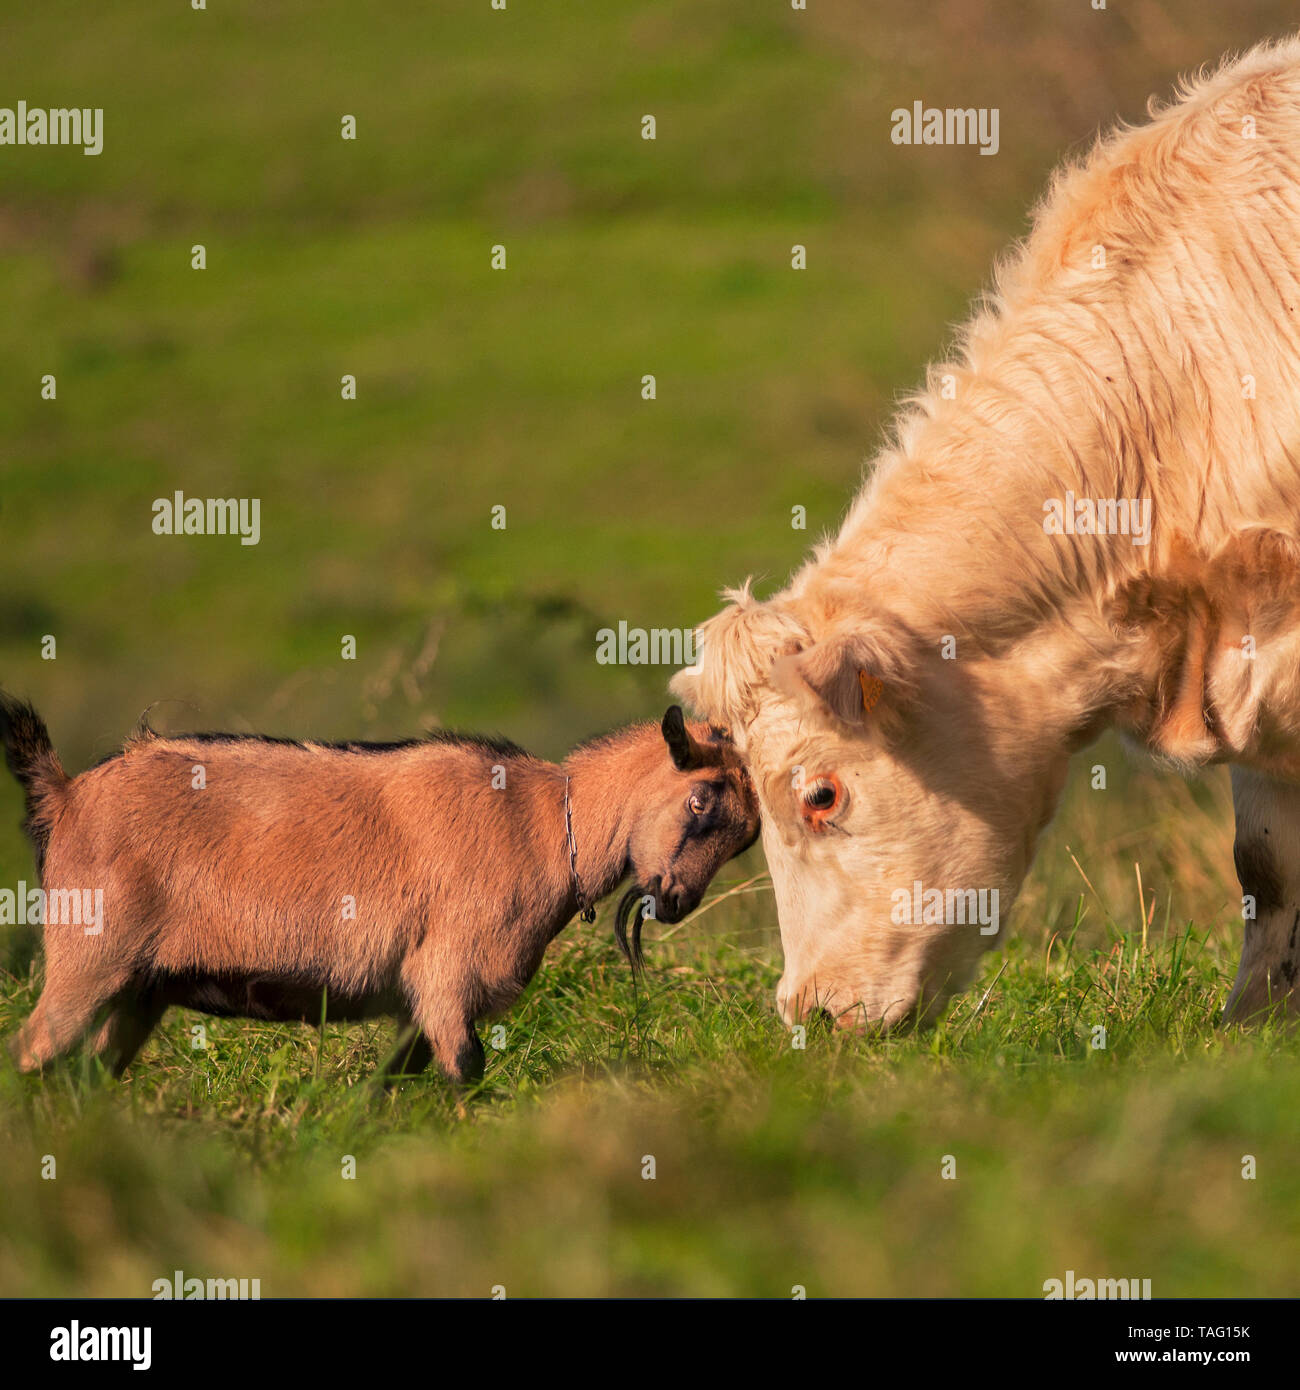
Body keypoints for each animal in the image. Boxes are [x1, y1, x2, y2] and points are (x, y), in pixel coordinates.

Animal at [0, 696, 759, 1084]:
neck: (544, 822)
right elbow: (466, 1072)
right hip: (89, 957)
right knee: (31, 1052)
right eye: (702, 801)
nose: (675, 902)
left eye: (749, 836)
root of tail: (64, 796)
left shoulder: (415, 1003)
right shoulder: (446, 974)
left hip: (141, 988)